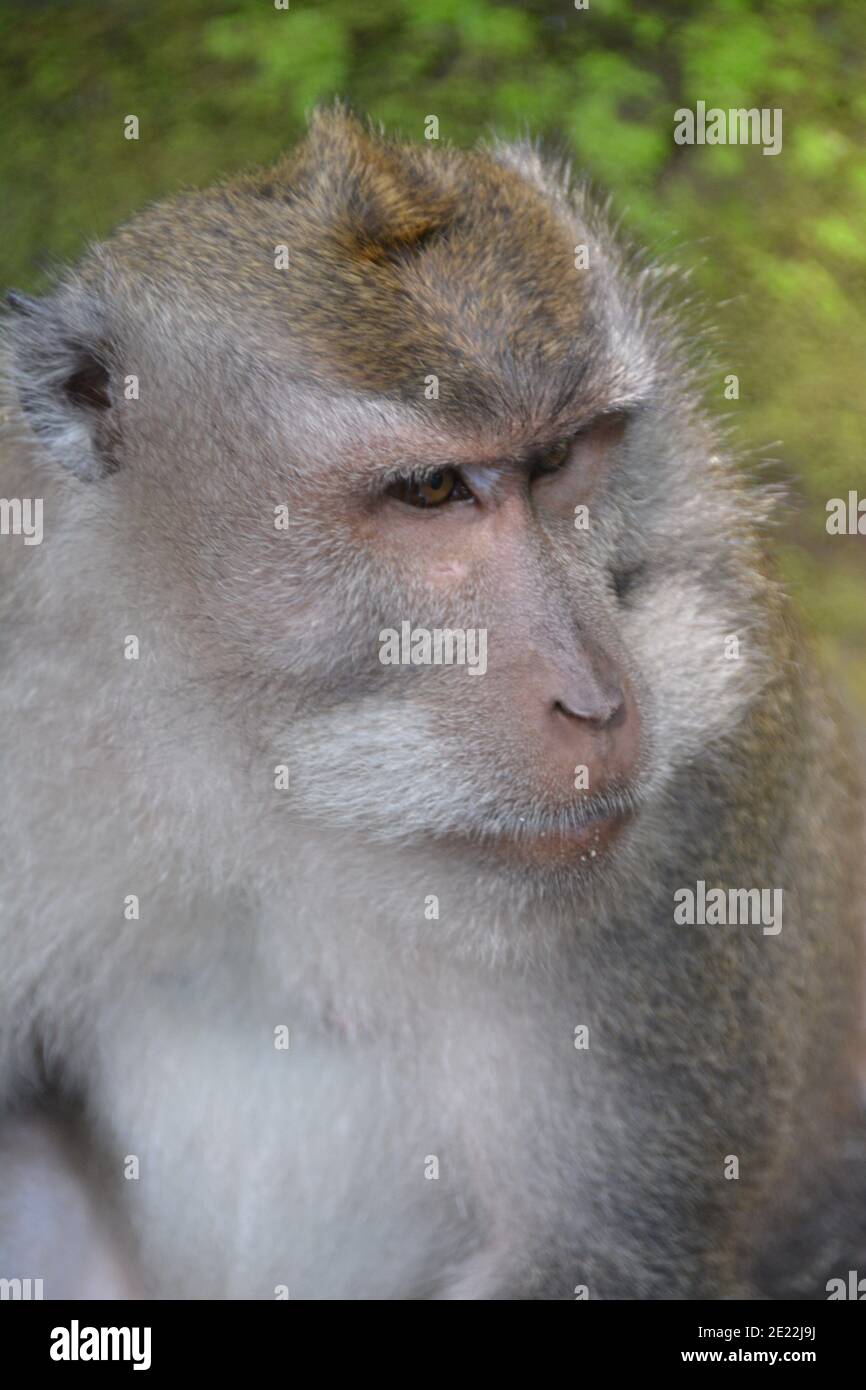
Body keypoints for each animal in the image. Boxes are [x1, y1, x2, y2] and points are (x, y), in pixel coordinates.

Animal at [0, 104, 864, 1300]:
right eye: (431, 490)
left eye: (565, 456)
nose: (597, 700)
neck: (255, 777)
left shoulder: (709, 771)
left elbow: (597, 1253)